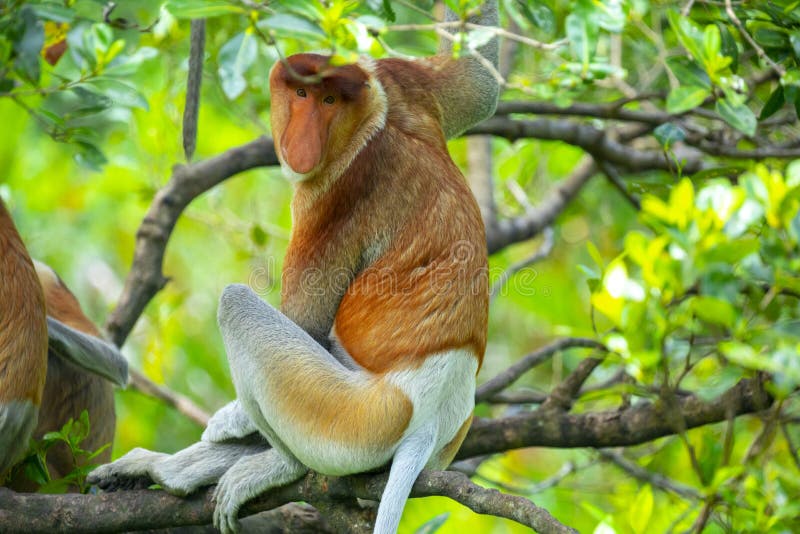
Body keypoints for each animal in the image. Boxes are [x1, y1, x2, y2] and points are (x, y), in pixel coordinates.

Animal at [88, 3, 498, 532]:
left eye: (328, 99)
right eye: (301, 93)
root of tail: (431, 416)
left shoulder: (335, 193)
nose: (302, 139)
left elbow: (307, 321)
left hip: (351, 417)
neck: (370, 120)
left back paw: (265, 466)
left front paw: (227, 421)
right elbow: (478, 81)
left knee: (237, 306)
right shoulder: (402, 83)